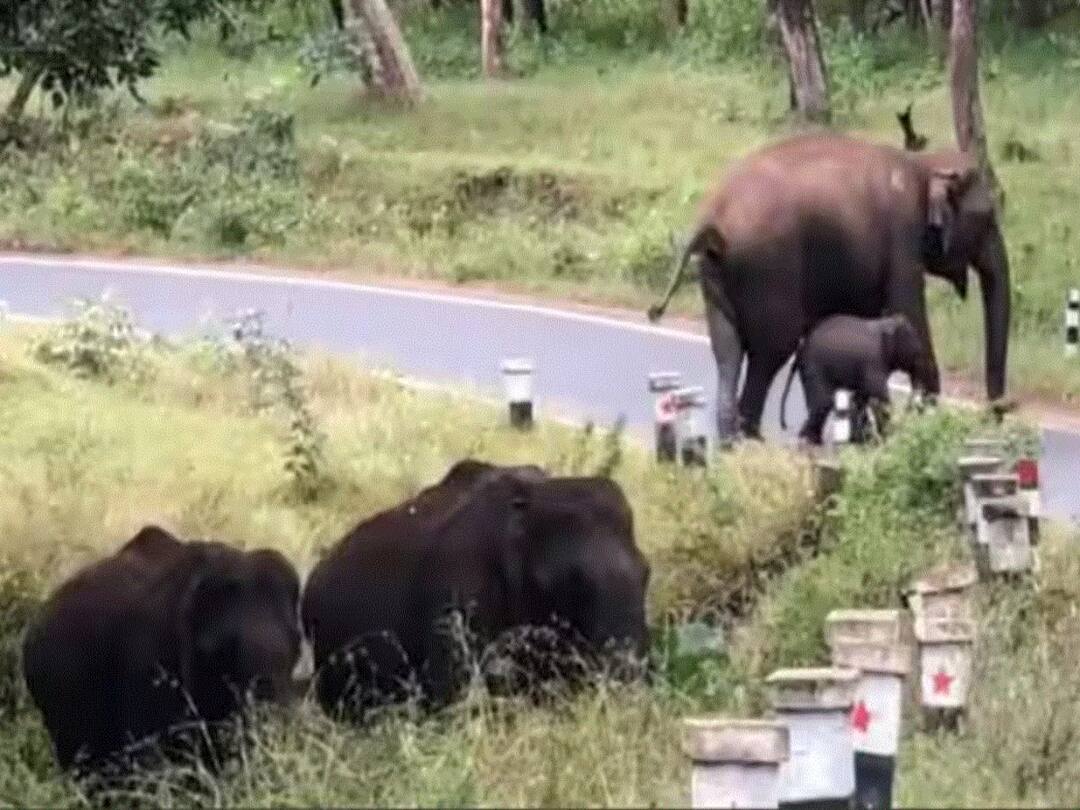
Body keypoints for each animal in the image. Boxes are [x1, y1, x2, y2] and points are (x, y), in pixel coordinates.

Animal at [778, 313, 932, 444]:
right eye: (915, 353)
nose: (912, 411)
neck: (886, 323)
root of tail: (800, 349)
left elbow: (861, 397)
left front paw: (863, 440)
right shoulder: (874, 361)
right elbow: (878, 397)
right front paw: (885, 437)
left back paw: (812, 440)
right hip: (815, 367)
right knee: (823, 403)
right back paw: (809, 441)